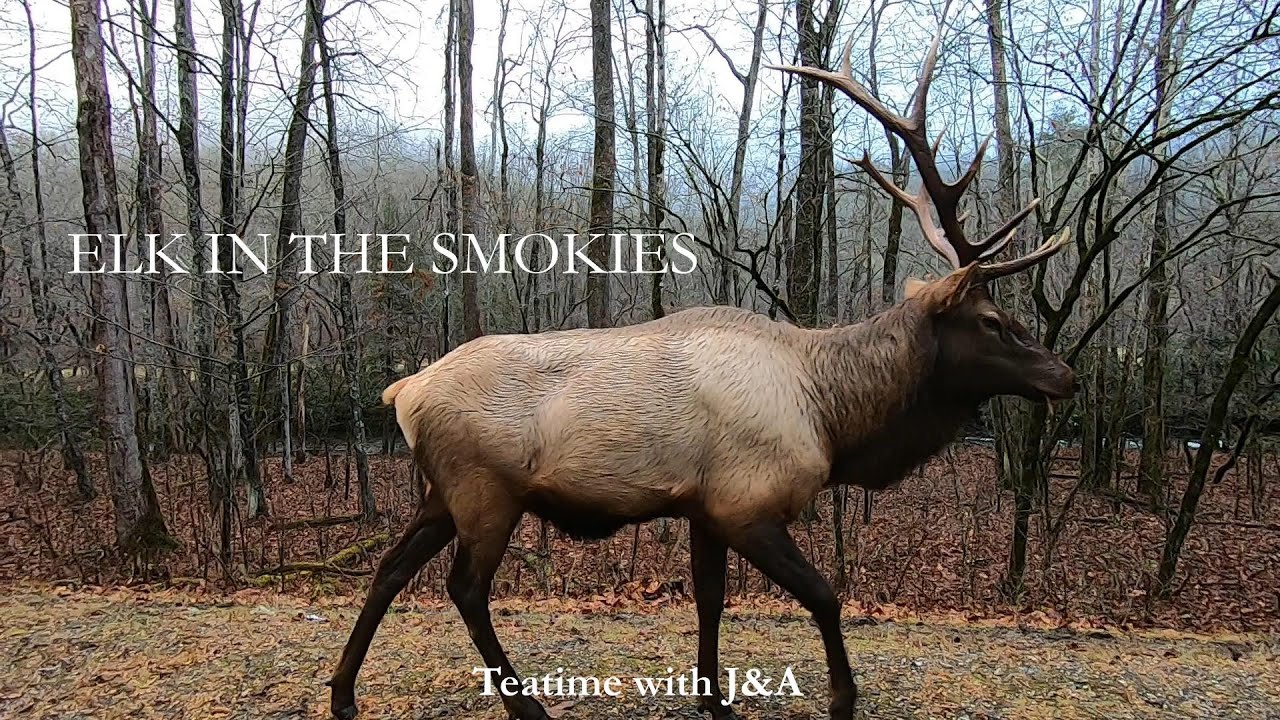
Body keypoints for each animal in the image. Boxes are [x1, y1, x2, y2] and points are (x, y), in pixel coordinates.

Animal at [327, 26, 1077, 720]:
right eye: (991, 321)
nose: (1066, 377)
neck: (833, 418)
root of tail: (404, 389)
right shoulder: (747, 502)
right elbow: (825, 595)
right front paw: (840, 698)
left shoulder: (704, 506)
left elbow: (710, 601)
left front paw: (714, 697)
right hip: (486, 490)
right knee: (464, 588)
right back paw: (525, 703)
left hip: (443, 491)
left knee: (389, 569)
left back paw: (343, 693)